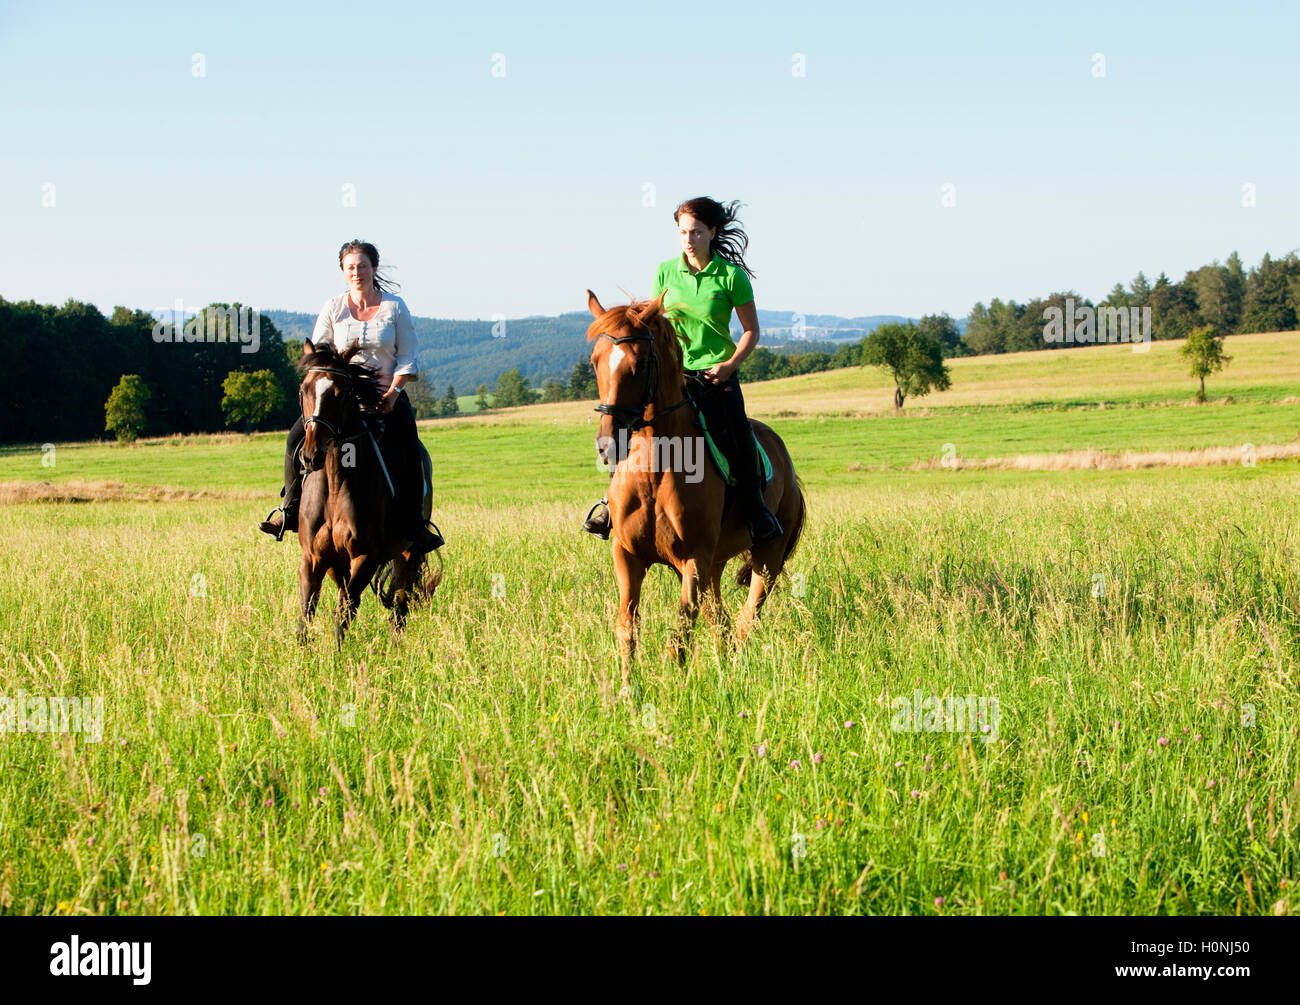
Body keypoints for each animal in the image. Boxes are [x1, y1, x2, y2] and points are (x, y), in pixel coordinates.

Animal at [295, 339, 441, 645]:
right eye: (304, 390)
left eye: (340, 394)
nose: (311, 456)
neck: (335, 485)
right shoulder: (313, 558)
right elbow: (306, 612)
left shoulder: (365, 557)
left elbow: (345, 611)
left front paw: (337, 653)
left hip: (408, 552)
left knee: (400, 602)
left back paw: (396, 644)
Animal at [585, 290, 807, 689]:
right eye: (596, 361)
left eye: (641, 364)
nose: (608, 445)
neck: (655, 470)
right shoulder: (627, 554)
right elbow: (627, 626)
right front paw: (628, 689)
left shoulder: (693, 560)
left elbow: (680, 633)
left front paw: (677, 688)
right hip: (716, 565)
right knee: (720, 620)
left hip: (765, 557)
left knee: (745, 619)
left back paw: (735, 672)